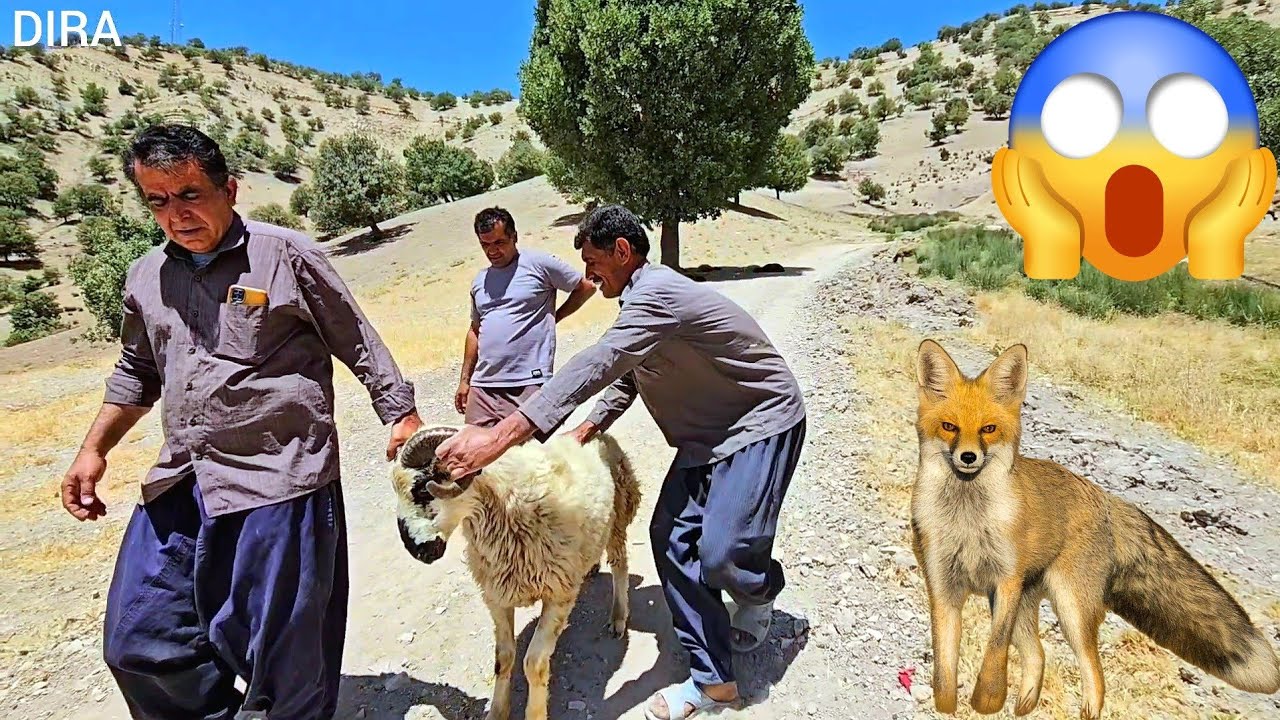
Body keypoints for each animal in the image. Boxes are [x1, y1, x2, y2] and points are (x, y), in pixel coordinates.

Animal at [389, 425, 641, 720]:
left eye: (420, 489)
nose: (416, 551)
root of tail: (601, 434)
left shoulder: (558, 595)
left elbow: (533, 664)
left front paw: (535, 713)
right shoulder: (496, 598)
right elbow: (503, 659)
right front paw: (497, 712)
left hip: (619, 515)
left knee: (620, 564)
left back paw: (618, 617)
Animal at [910, 339, 1280, 720]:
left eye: (988, 429)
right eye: (949, 426)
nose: (968, 457)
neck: (967, 522)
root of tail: (1104, 496)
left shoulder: (1005, 582)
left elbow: (995, 652)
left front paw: (986, 703)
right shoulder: (942, 586)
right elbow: (944, 668)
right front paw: (948, 707)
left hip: (1068, 609)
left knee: (1094, 674)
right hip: (1024, 607)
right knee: (1039, 654)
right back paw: (1024, 708)